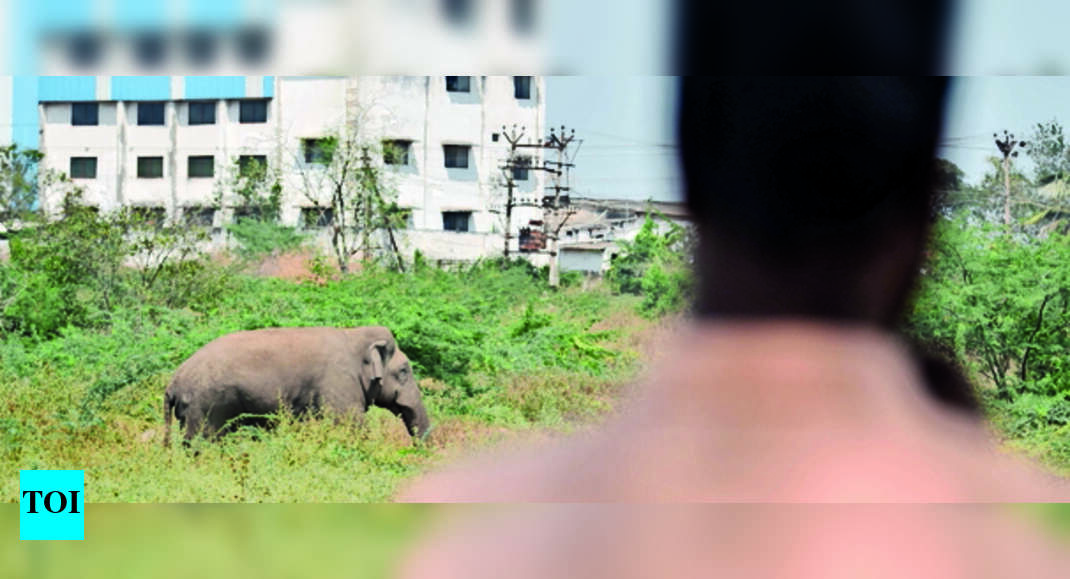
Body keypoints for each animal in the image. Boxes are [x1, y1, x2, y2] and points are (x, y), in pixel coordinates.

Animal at [163, 326, 431, 446]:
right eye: (404, 371)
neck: (353, 335)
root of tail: (172, 383)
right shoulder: (338, 381)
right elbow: (351, 425)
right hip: (204, 405)